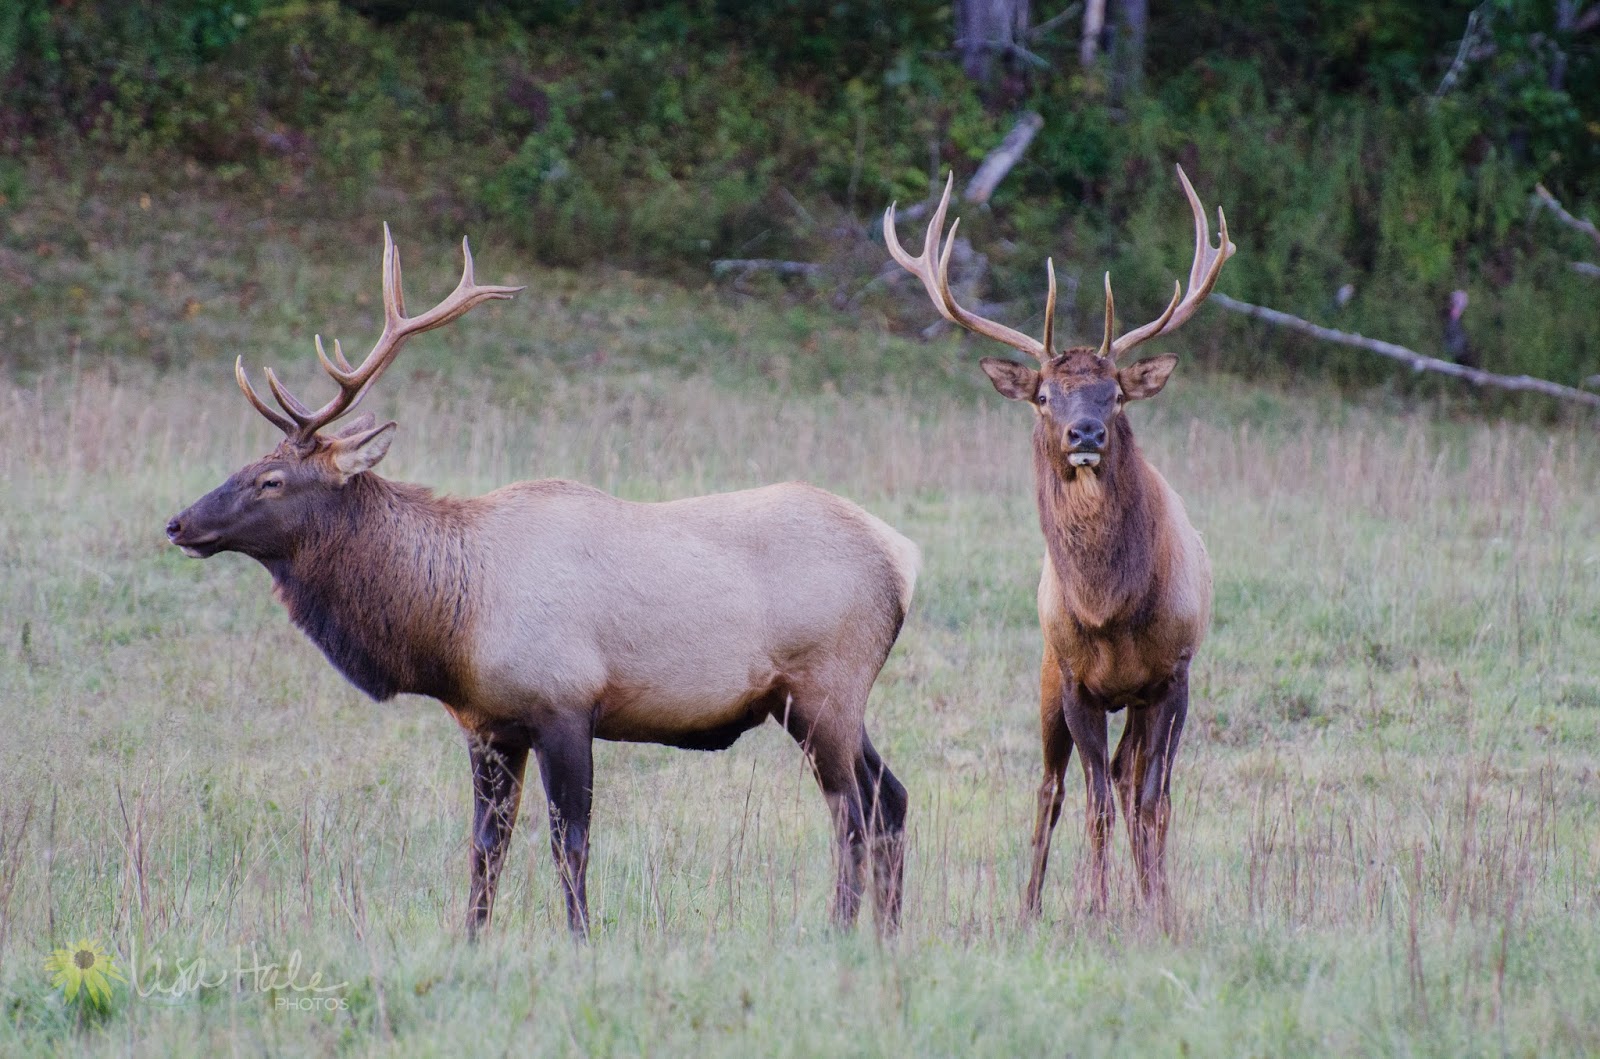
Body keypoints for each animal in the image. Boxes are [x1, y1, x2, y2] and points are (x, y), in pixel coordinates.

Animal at [166, 227, 919, 938]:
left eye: (271, 480)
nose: (178, 523)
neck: (452, 621)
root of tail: (903, 558)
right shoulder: (489, 725)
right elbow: (485, 848)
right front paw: (469, 940)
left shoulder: (566, 703)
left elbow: (569, 843)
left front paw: (581, 941)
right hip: (822, 701)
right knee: (891, 797)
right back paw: (887, 935)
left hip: (824, 685)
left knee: (851, 811)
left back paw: (840, 930)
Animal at [885, 166, 1232, 920]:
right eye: (1044, 396)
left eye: (1116, 395)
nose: (1086, 433)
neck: (1110, 606)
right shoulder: (1075, 679)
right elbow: (1092, 804)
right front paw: (1094, 908)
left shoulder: (1175, 672)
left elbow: (1154, 804)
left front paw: (1159, 909)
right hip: (1047, 675)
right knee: (1053, 790)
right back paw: (1029, 906)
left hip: (1138, 701)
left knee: (1130, 783)